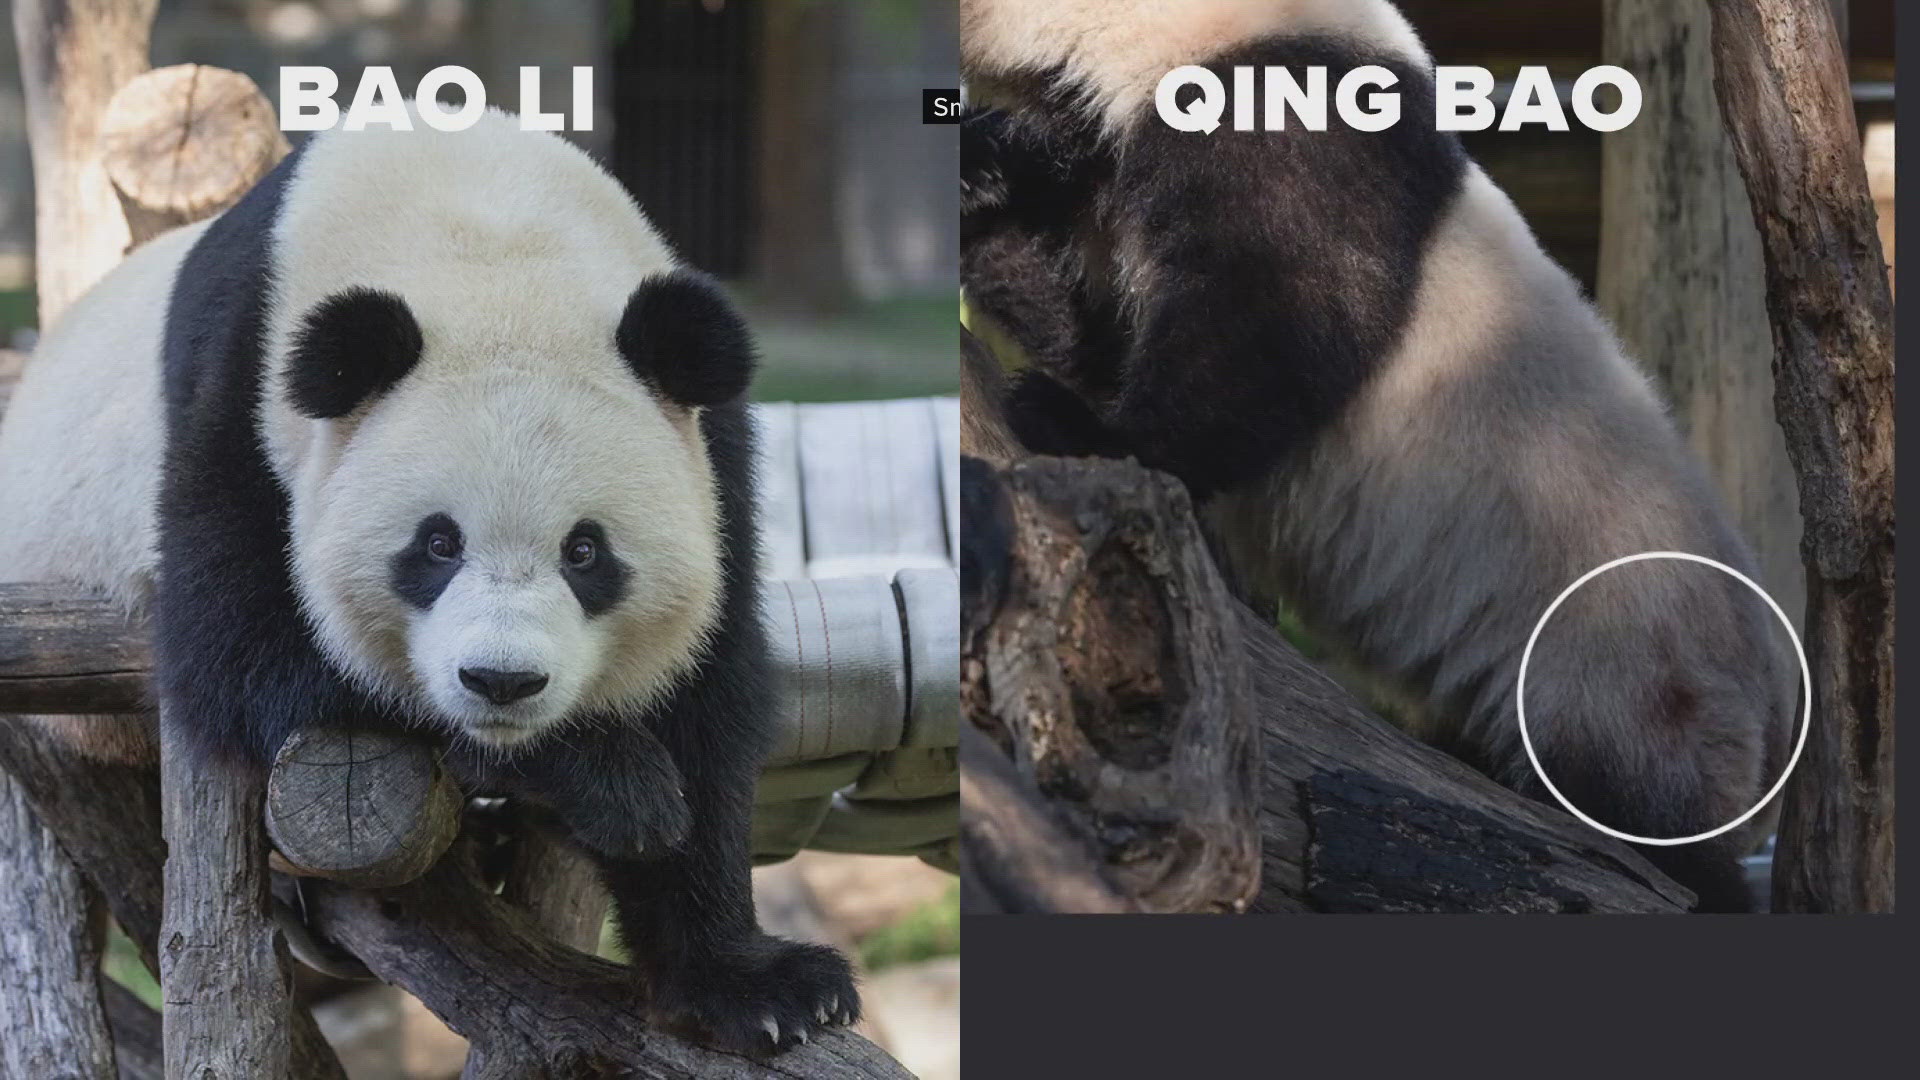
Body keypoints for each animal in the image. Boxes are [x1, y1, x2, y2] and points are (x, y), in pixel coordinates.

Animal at [0, 108, 857, 1048]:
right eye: (438, 544)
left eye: (585, 552)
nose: (501, 682)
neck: (488, 241)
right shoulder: (237, 397)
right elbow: (242, 654)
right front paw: (612, 784)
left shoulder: (711, 450)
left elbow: (708, 699)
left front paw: (756, 984)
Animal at [958, 0, 1797, 911]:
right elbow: (1097, 327)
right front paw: (985, 188)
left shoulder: (1287, 125)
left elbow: (1273, 331)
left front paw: (1079, 424)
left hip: (1623, 659)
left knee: (1635, 802)